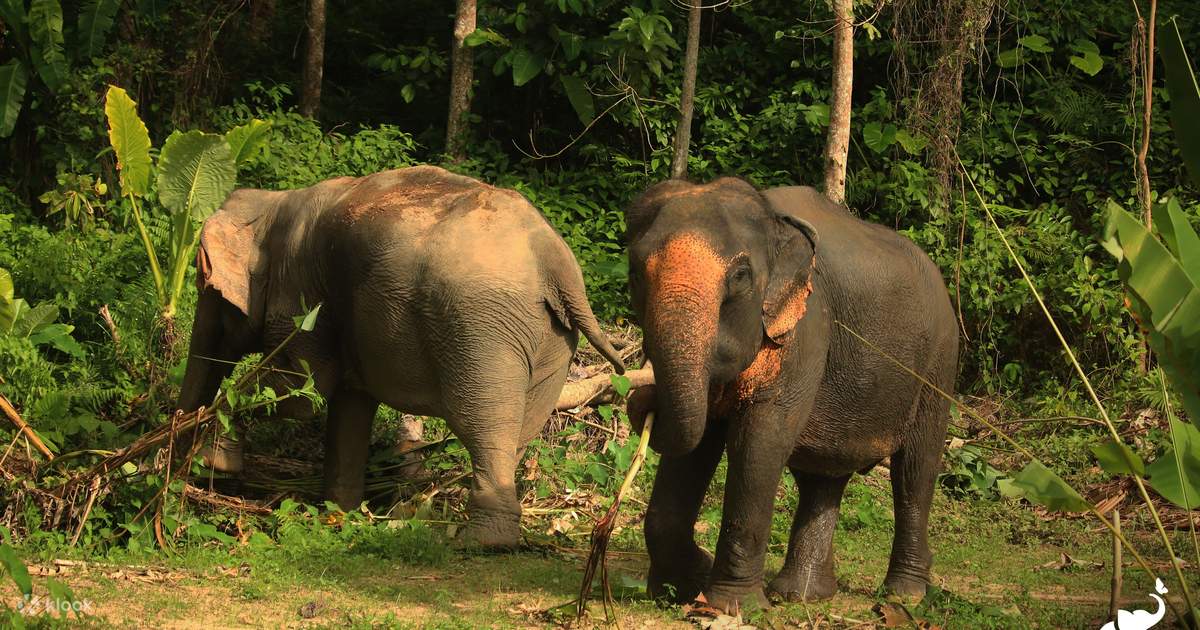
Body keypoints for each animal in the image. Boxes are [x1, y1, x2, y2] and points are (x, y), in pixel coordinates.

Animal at [176, 165, 624, 548]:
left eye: (205, 284)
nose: (179, 471)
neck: (273, 203)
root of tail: (556, 262)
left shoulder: (300, 291)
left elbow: (304, 393)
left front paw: (216, 461)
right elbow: (348, 405)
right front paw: (339, 513)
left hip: (481, 329)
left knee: (482, 422)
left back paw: (482, 542)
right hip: (549, 339)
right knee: (521, 426)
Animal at [622, 177, 958, 612]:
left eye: (741, 275)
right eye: (634, 273)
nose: (642, 400)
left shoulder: (806, 331)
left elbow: (761, 441)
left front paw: (731, 606)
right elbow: (697, 443)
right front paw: (682, 587)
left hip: (938, 365)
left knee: (916, 468)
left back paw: (905, 595)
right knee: (823, 477)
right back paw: (801, 595)